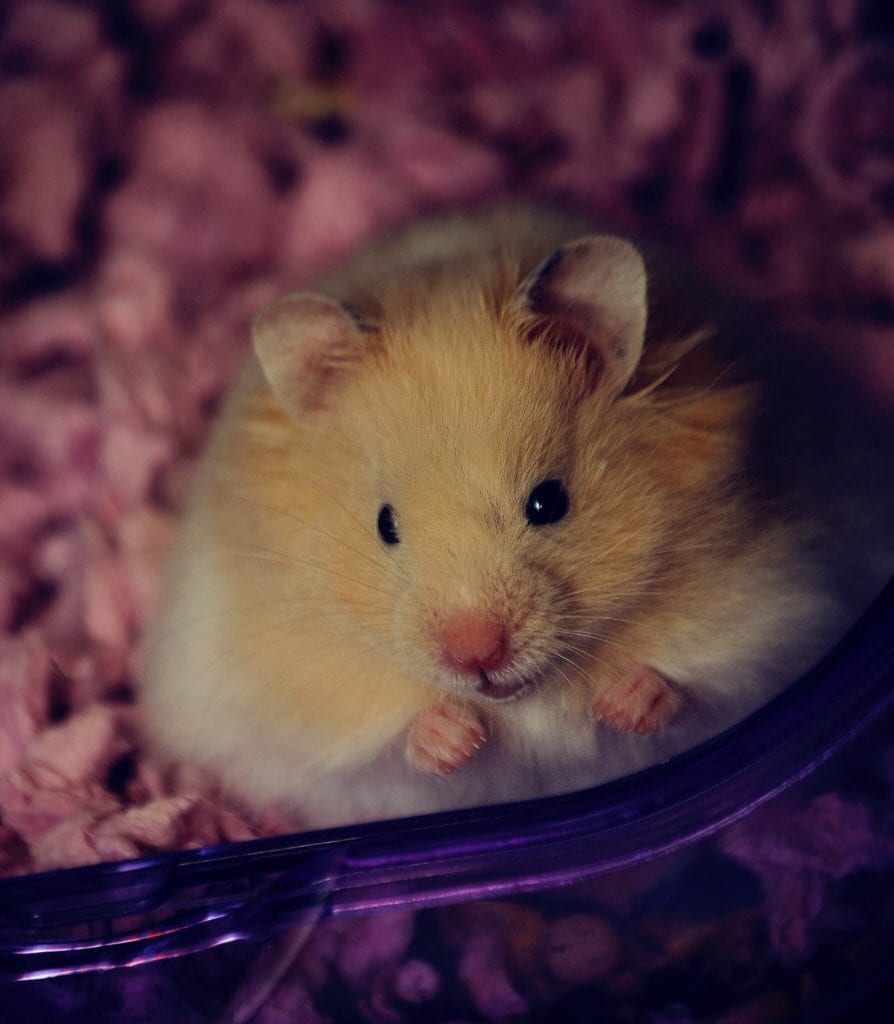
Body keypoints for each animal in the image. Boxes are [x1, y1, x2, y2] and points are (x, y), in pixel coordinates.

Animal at [139, 205, 892, 830]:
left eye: (548, 501)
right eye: (385, 525)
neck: (524, 702)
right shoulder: (292, 702)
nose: (476, 655)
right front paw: (455, 735)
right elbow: (388, 738)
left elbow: (698, 682)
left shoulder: (783, 616)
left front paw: (622, 701)